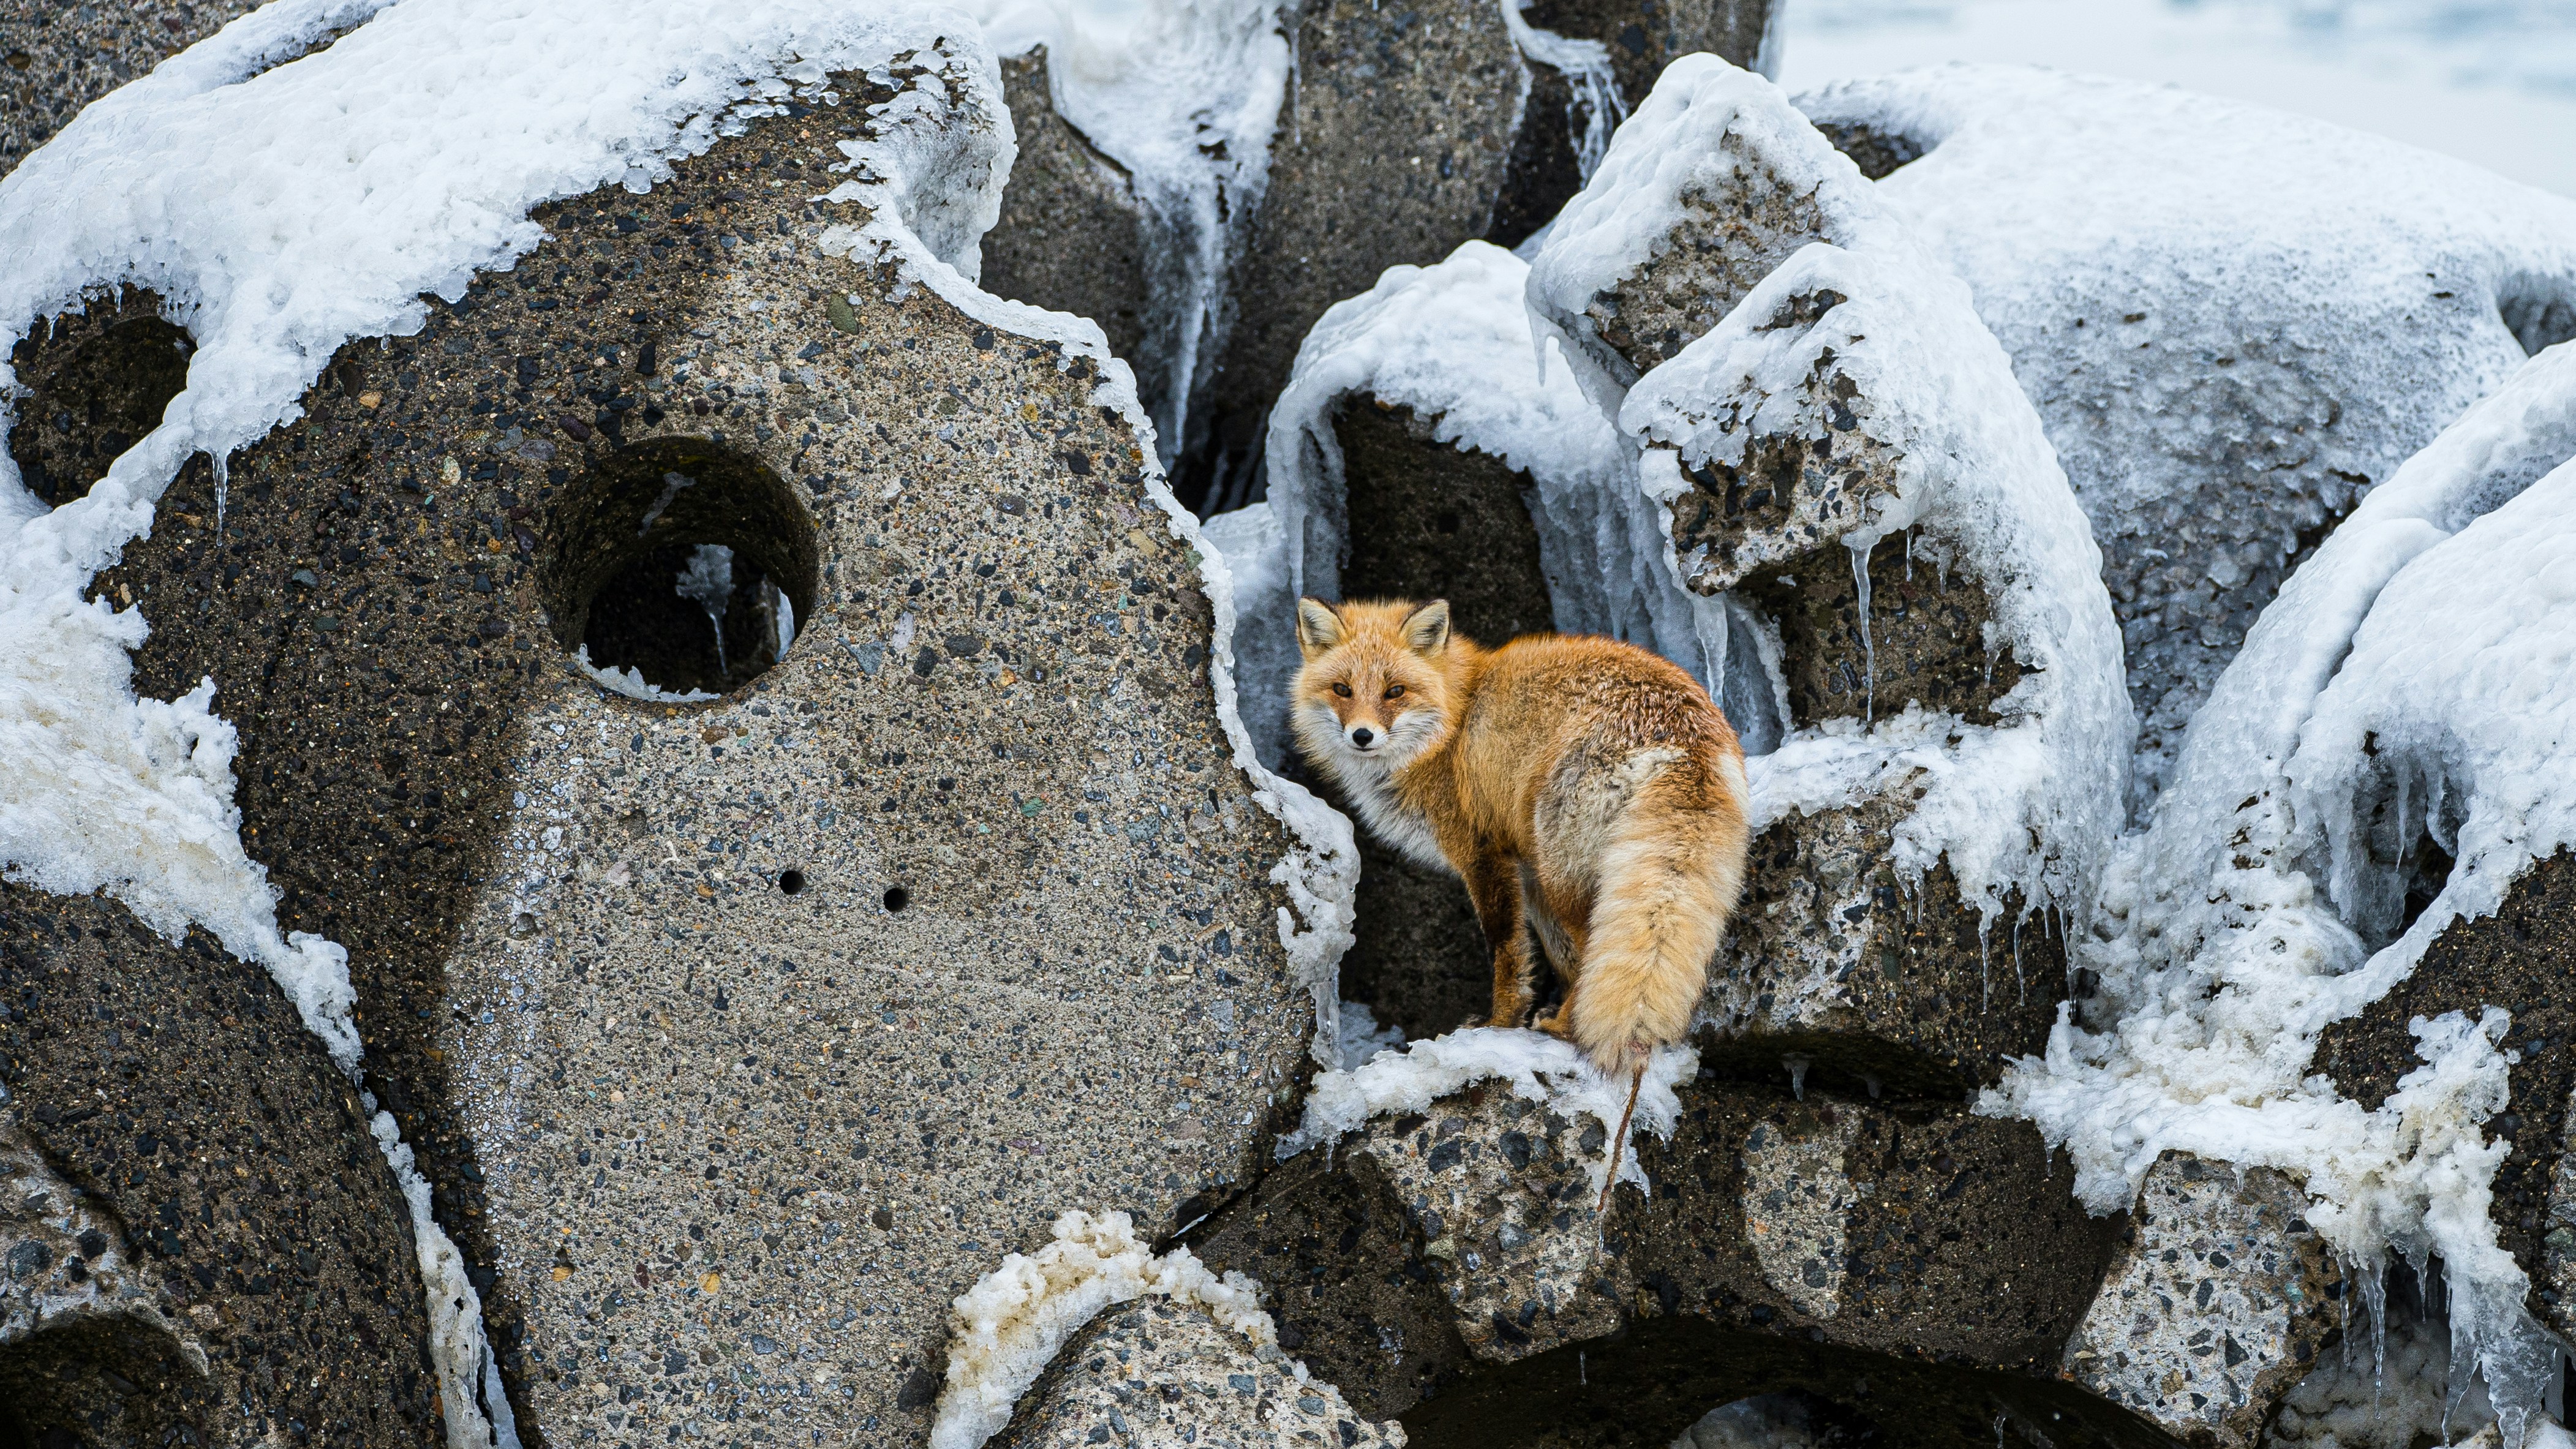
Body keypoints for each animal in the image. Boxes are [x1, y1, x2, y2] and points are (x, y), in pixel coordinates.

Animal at [1291, 597, 1750, 1113]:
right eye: (1342, 690)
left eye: (1395, 692)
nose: (1362, 736)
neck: (1452, 729)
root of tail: (1683, 734)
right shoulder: (1526, 868)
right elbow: (1559, 955)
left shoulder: (1484, 854)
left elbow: (1508, 951)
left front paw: (1499, 1027)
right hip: (1560, 870)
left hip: (1562, 870)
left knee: (1593, 944)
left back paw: (1562, 1028)